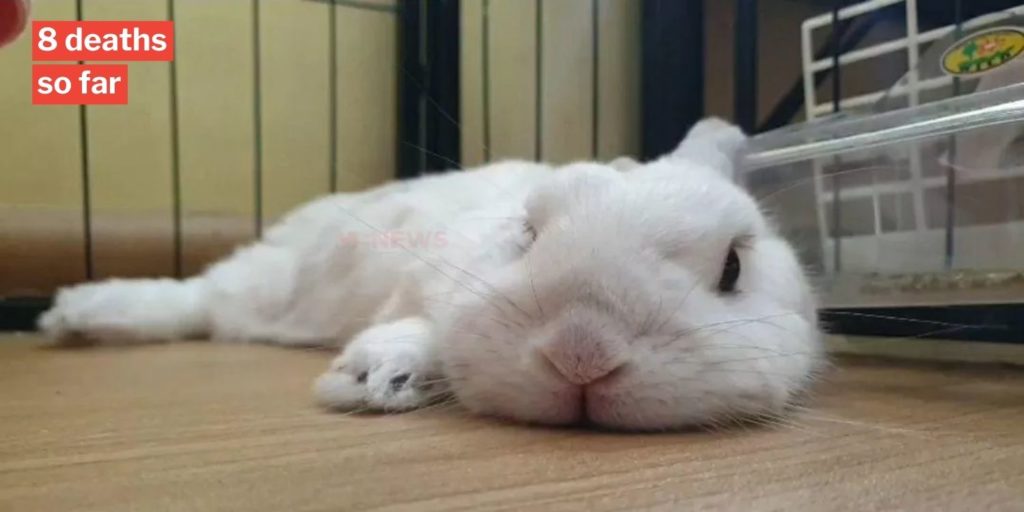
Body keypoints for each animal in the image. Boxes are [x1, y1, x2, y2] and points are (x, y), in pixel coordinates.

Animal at [38, 117, 822, 431]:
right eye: (528, 233)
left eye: (733, 267)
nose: (582, 354)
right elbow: (422, 322)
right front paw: (367, 376)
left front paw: (384, 374)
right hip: (264, 278)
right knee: (196, 300)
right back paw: (79, 312)